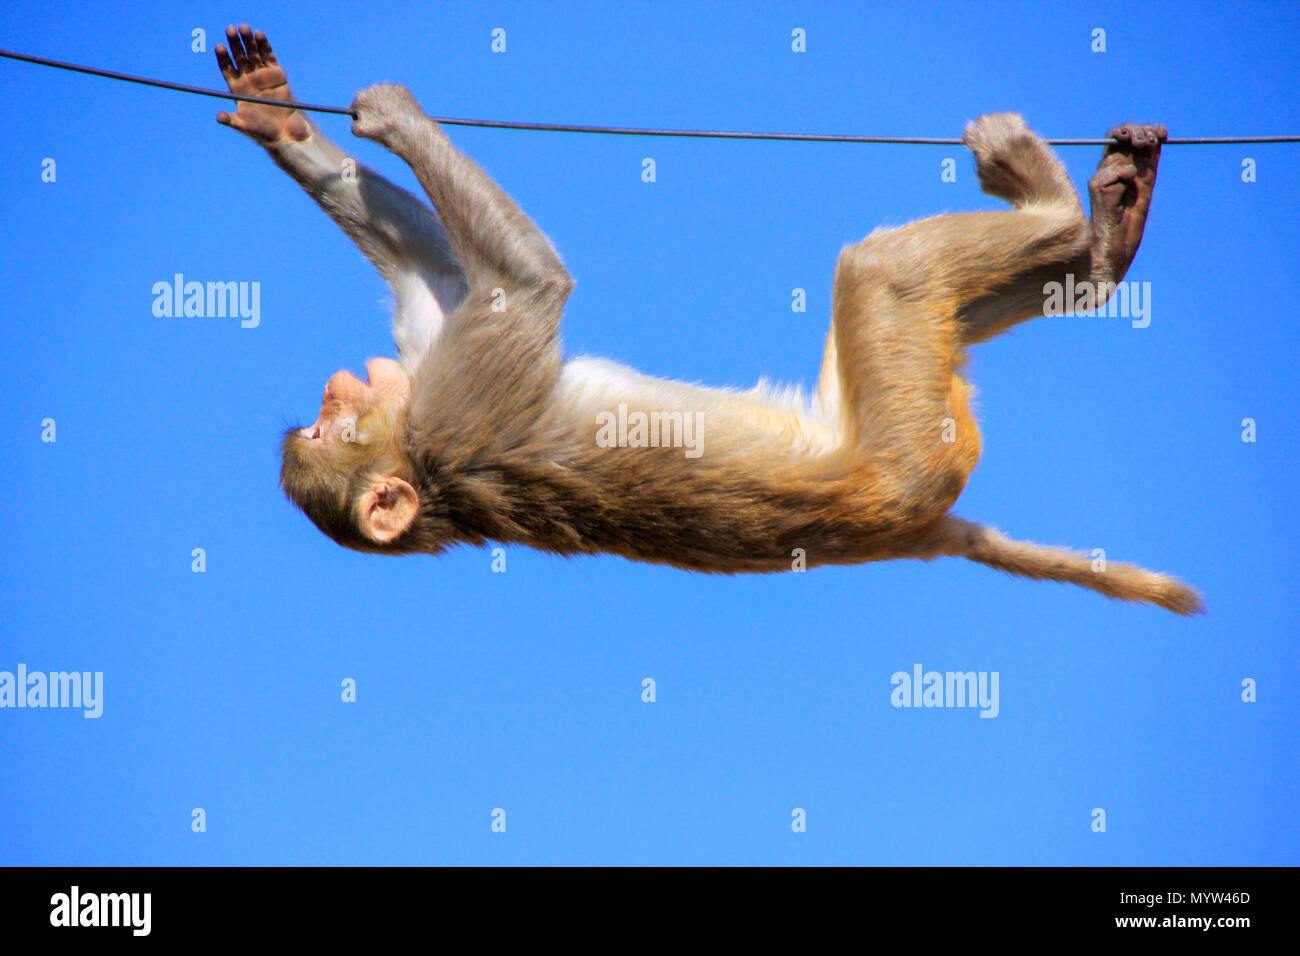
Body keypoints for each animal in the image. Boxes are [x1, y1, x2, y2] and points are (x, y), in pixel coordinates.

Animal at [215, 24, 1200, 615]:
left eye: (325, 419)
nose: (337, 386)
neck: (422, 458)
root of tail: (913, 530)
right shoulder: (456, 409)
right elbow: (530, 289)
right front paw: (394, 118)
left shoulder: (433, 388)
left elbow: (443, 274)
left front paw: (279, 118)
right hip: (918, 448)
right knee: (882, 271)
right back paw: (1063, 213)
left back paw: (1106, 243)